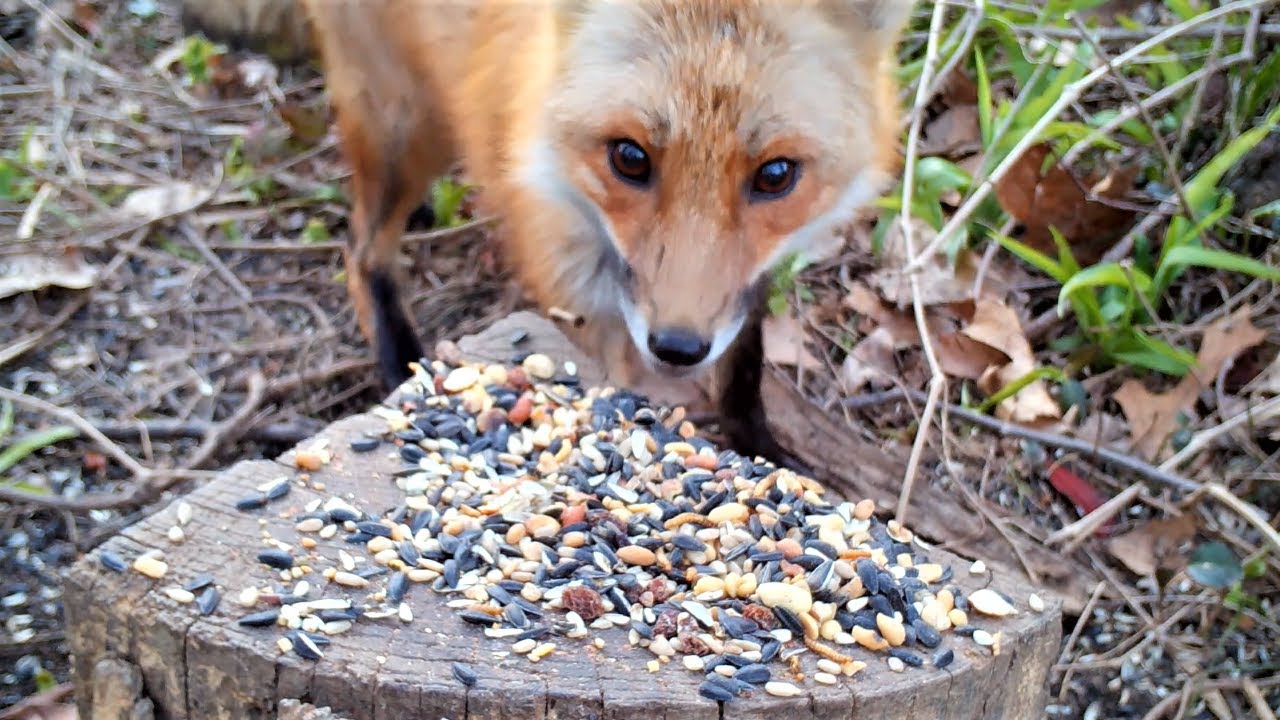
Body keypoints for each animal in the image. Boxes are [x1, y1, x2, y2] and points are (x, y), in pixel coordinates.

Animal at [179, 0, 913, 467]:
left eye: (776, 174)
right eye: (629, 158)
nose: (677, 348)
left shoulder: (744, 287)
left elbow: (743, 368)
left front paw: (762, 452)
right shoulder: (583, 303)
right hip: (402, 125)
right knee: (360, 251)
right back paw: (401, 361)